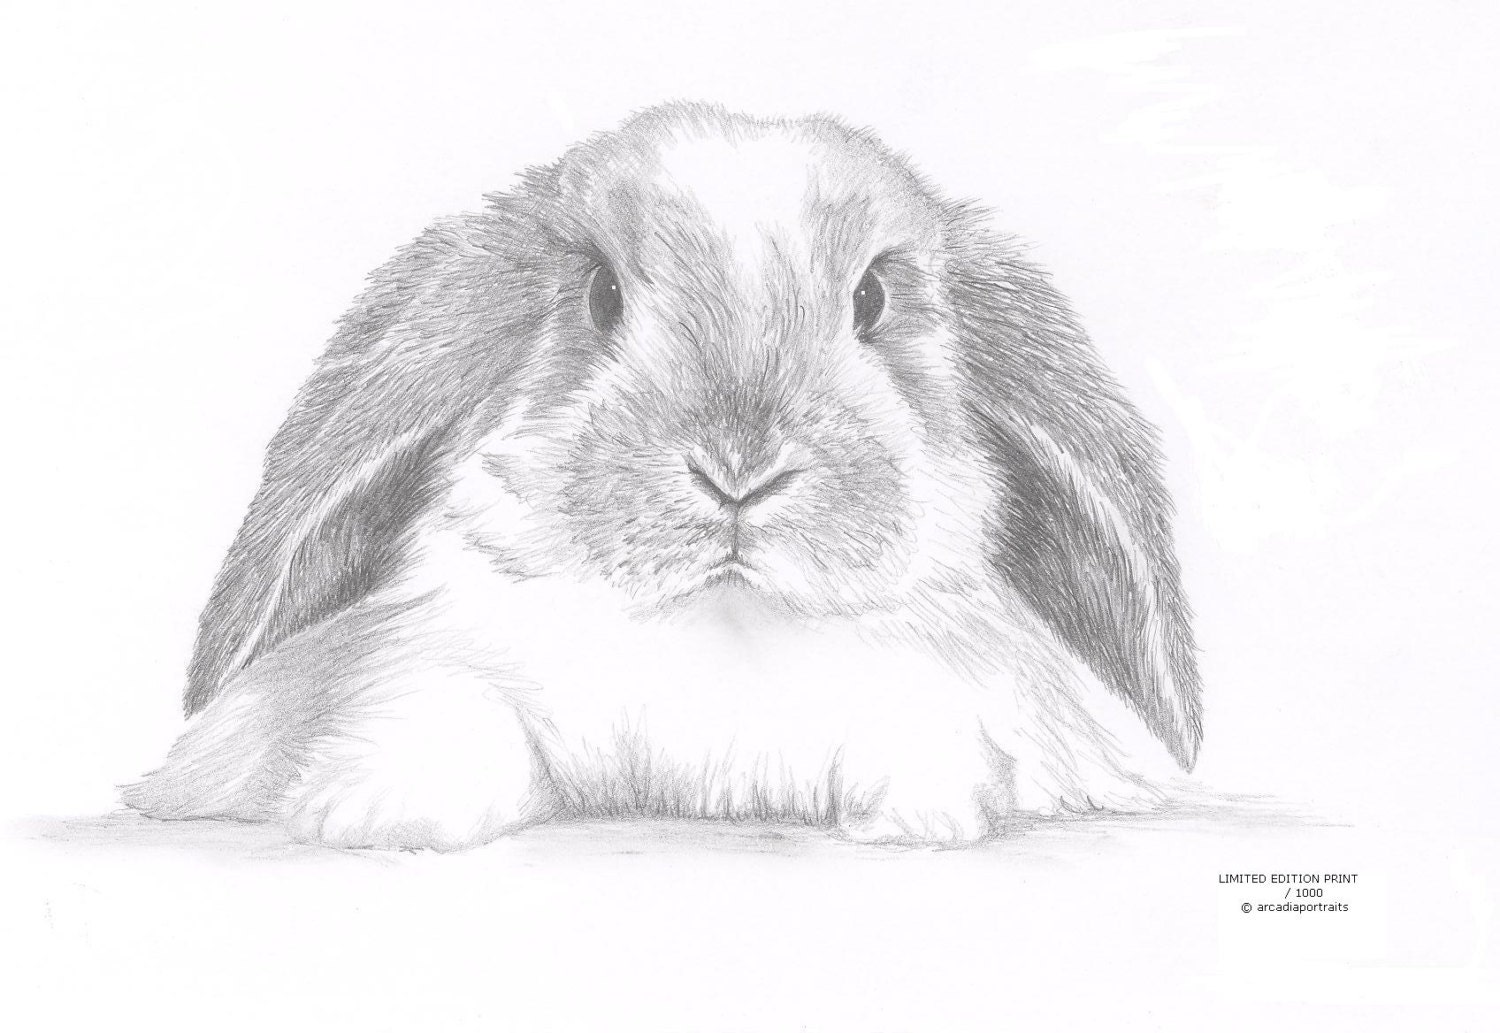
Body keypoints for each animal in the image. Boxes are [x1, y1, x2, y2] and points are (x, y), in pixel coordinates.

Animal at [122, 102, 1203, 851]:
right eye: (601, 294)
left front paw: (915, 818)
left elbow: (936, 734)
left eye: (873, 298)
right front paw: (381, 812)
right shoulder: (436, 666)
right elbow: (447, 714)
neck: (722, 623)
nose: (739, 468)